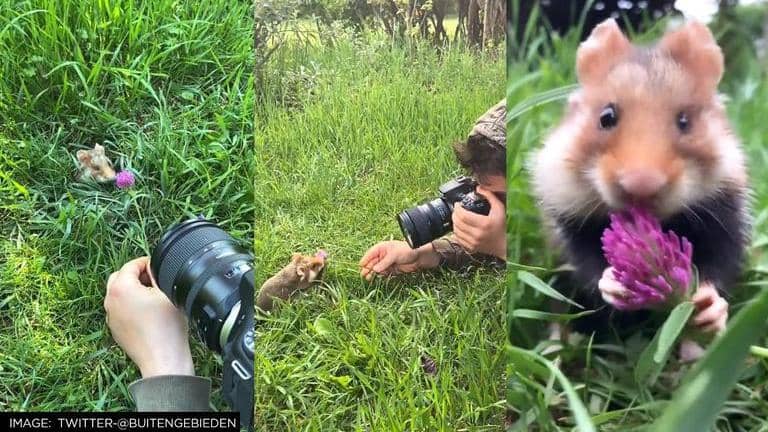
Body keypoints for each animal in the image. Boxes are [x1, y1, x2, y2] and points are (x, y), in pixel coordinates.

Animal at [530, 19, 750, 336]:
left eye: (685, 121)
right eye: (606, 116)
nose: (641, 185)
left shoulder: (726, 212)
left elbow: (718, 267)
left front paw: (709, 309)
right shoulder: (567, 216)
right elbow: (589, 263)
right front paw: (616, 285)